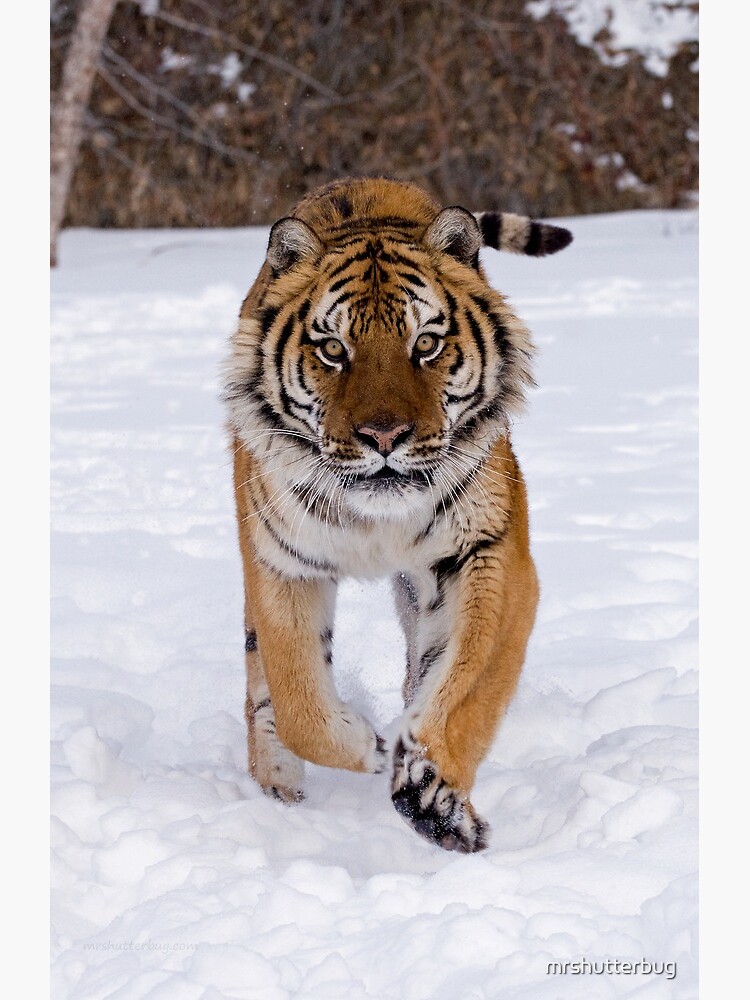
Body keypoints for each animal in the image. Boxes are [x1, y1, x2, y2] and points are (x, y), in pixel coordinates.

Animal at [223, 177, 572, 853]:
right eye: (334, 350)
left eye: (426, 344)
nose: (384, 436)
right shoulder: (284, 563)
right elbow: (298, 694)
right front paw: (367, 747)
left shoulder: (486, 552)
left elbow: (466, 685)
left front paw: (433, 794)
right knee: (261, 684)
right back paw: (276, 784)